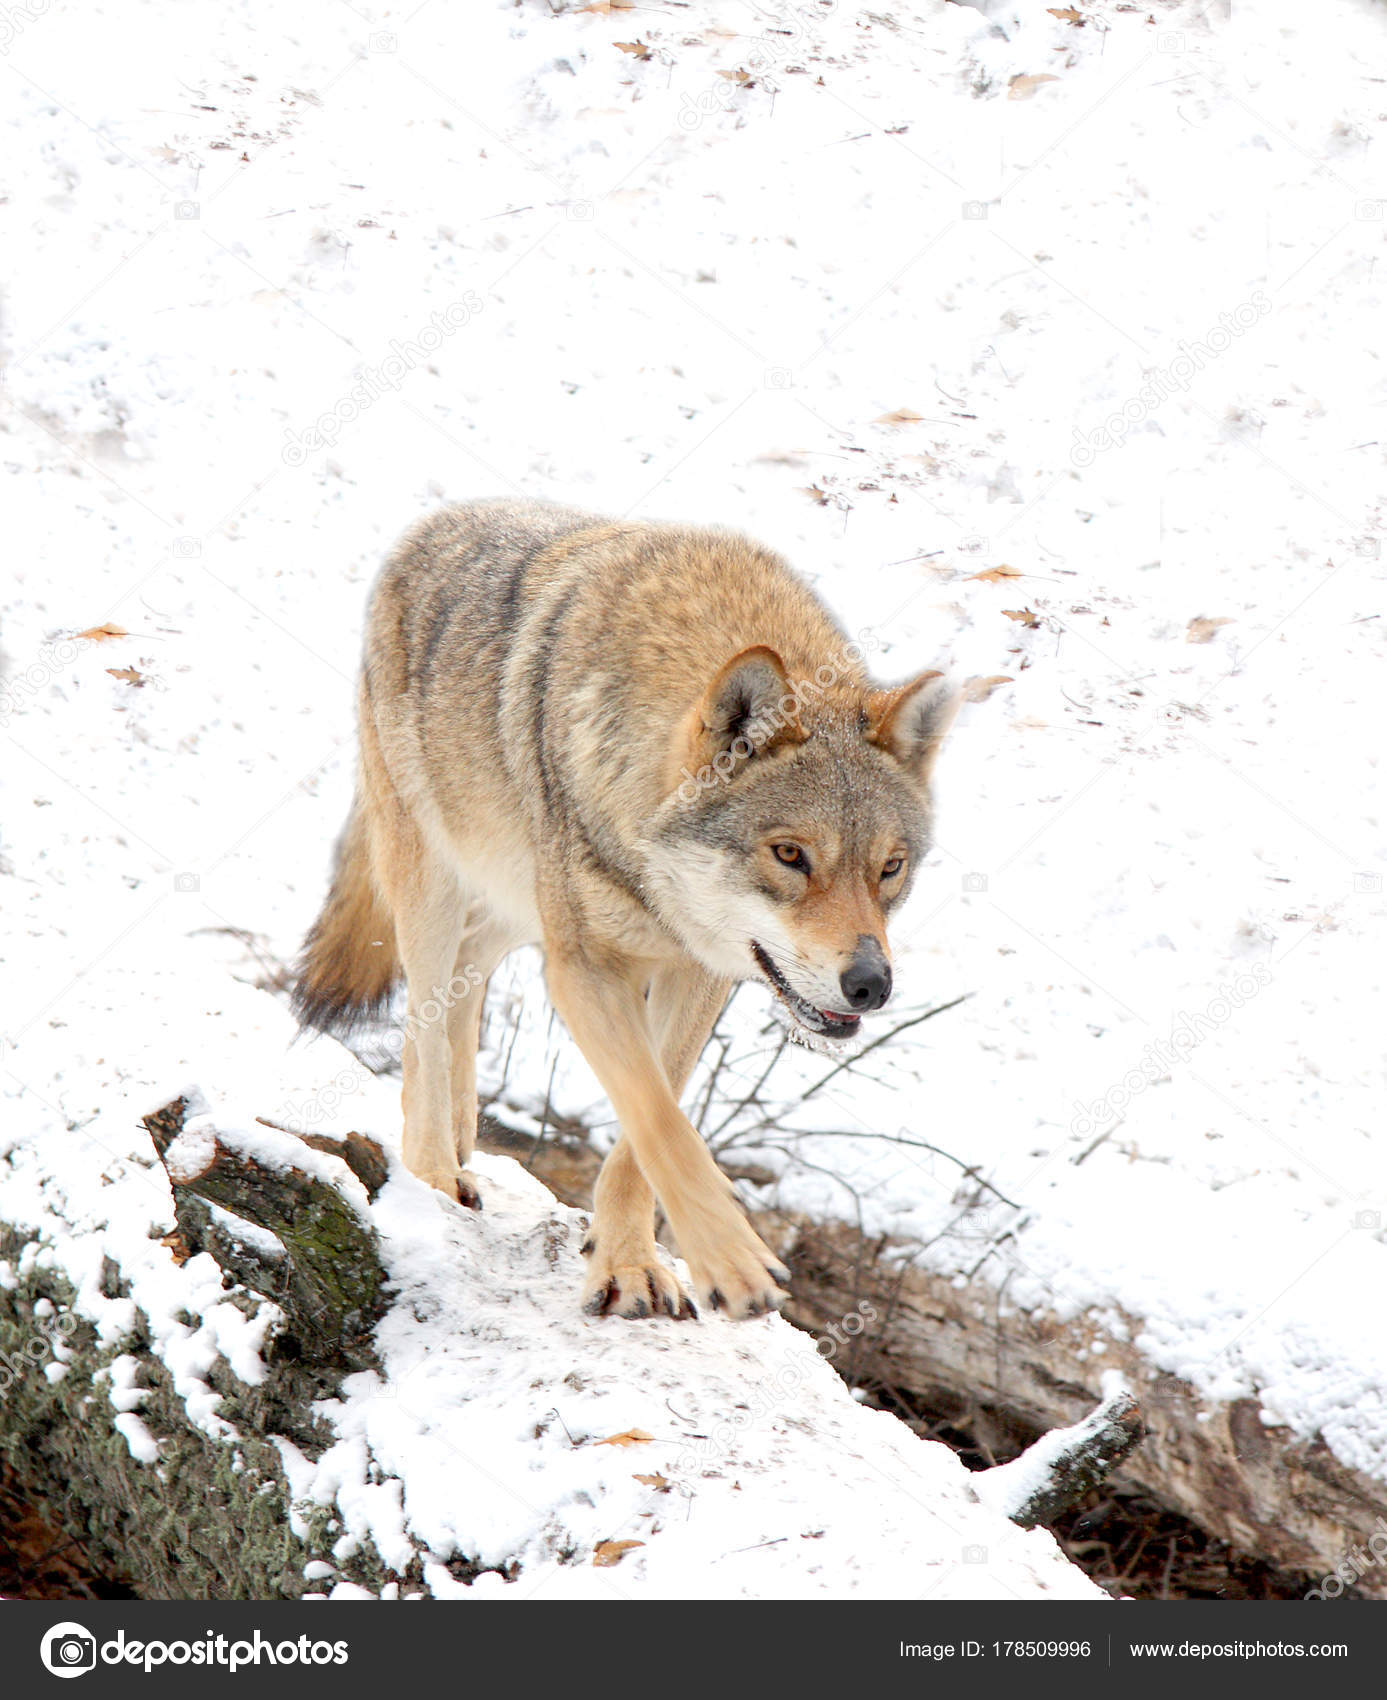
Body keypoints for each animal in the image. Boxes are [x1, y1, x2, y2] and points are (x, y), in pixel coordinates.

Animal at [292, 499, 958, 1321]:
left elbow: (650, 1121)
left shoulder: (700, 973)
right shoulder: (584, 968)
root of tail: (438, 518)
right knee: (422, 1012)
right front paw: (725, 1262)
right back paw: (433, 1169)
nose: (870, 984)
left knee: (467, 981)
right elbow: (658, 1120)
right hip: (433, 878)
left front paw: (627, 1259)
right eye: (790, 855)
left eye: (890, 868)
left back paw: (461, 1134)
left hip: (514, 895)